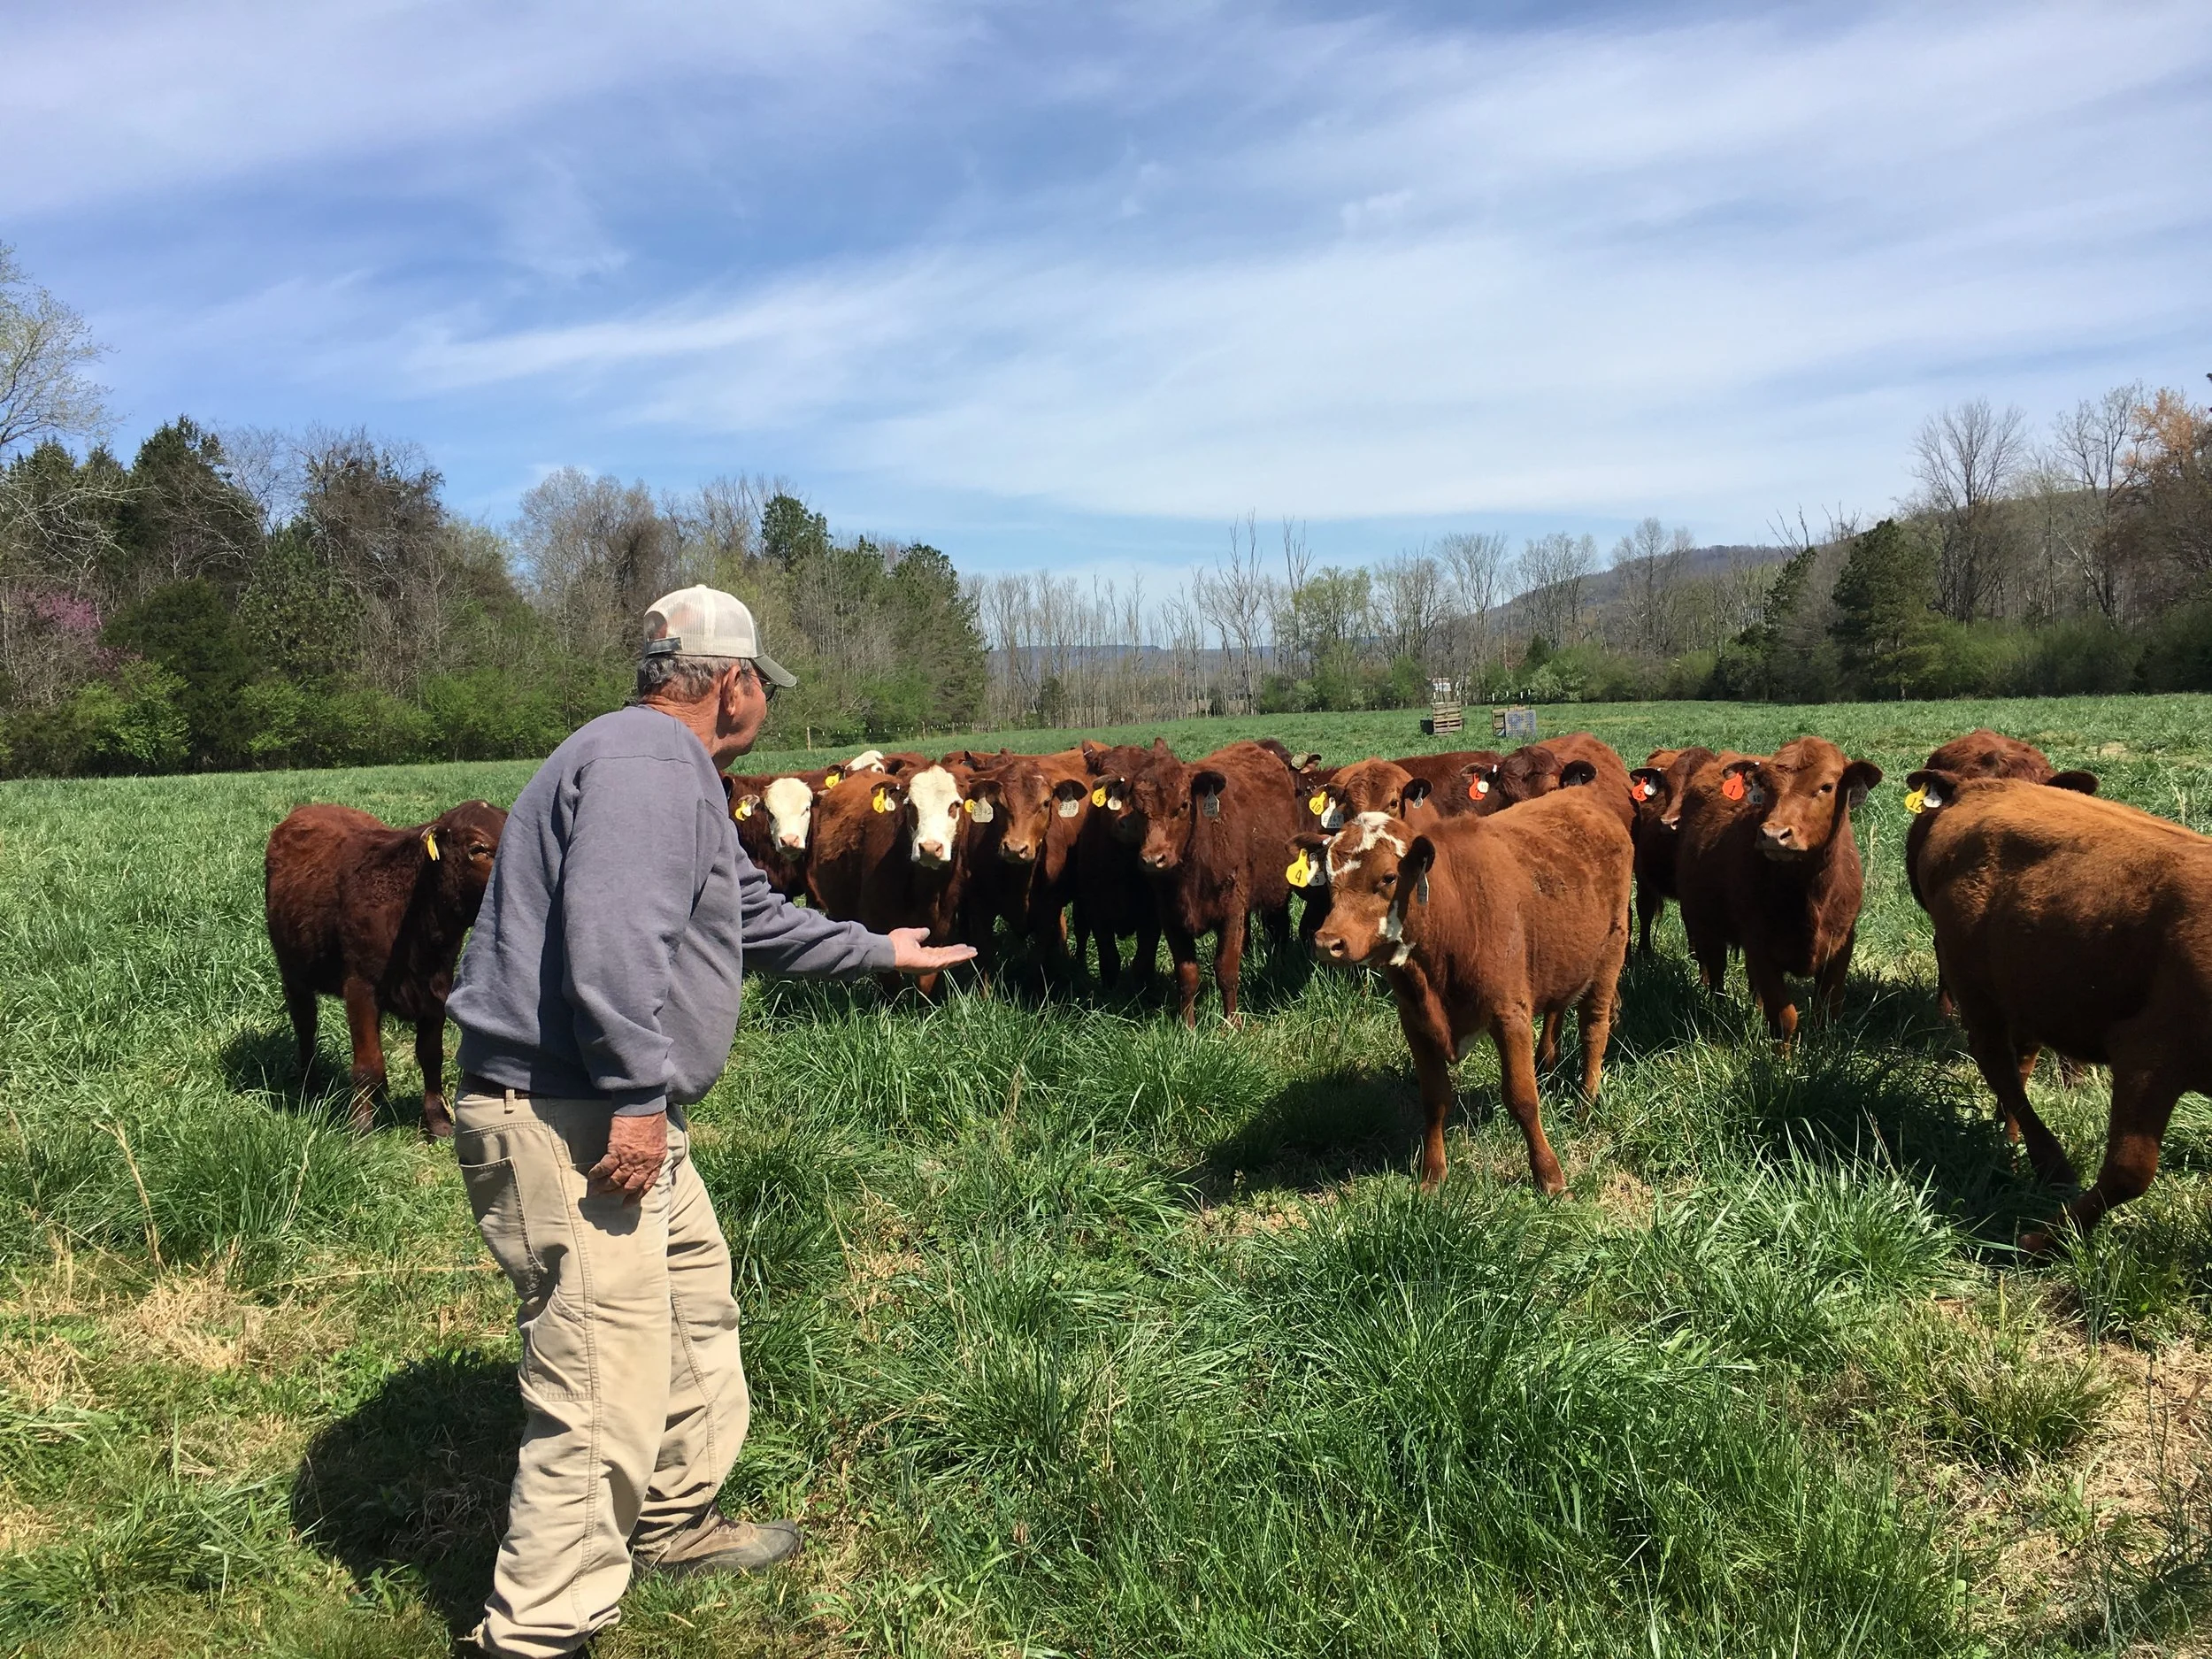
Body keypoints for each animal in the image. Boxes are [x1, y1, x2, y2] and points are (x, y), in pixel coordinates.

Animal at [264, 799, 507, 1137]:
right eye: (477, 848)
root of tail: (309, 808)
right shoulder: (360, 987)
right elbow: (368, 1064)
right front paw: (360, 1127)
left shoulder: (437, 988)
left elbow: (430, 1056)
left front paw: (438, 1121)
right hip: (293, 971)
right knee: (305, 1025)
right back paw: (309, 1083)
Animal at [1120, 738, 1301, 1025]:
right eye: (1137, 810)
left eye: (1183, 805)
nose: (1152, 859)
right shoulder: (1171, 918)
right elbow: (1187, 975)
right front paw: (1188, 1026)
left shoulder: (1231, 911)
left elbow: (1226, 969)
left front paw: (1232, 1024)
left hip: (1276, 893)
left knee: (1278, 926)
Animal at [1302, 785, 1633, 1194]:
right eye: (1329, 880)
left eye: (1389, 877)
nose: (1327, 942)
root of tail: (1581, 794)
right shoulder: (1415, 1021)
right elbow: (1434, 1099)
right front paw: (1432, 1175)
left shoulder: (1510, 1014)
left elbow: (1522, 1098)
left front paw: (1549, 1175)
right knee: (1558, 1008)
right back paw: (1547, 1063)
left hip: (1610, 957)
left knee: (1593, 1029)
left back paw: (1587, 1101)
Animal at [1674, 736, 1881, 1042]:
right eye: (1767, 786)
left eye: (1826, 787)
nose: (1773, 835)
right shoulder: (1758, 944)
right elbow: (1785, 1018)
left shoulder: (1842, 943)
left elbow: (1827, 1010)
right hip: (1703, 922)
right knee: (1715, 969)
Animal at [1904, 768, 2209, 1249]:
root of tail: (1981, 788)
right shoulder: (2150, 1051)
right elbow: (2130, 1171)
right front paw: (2044, 1241)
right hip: (1970, 976)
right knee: (1996, 1061)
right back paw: (2050, 1164)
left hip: (2026, 983)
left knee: (2019, 1059)